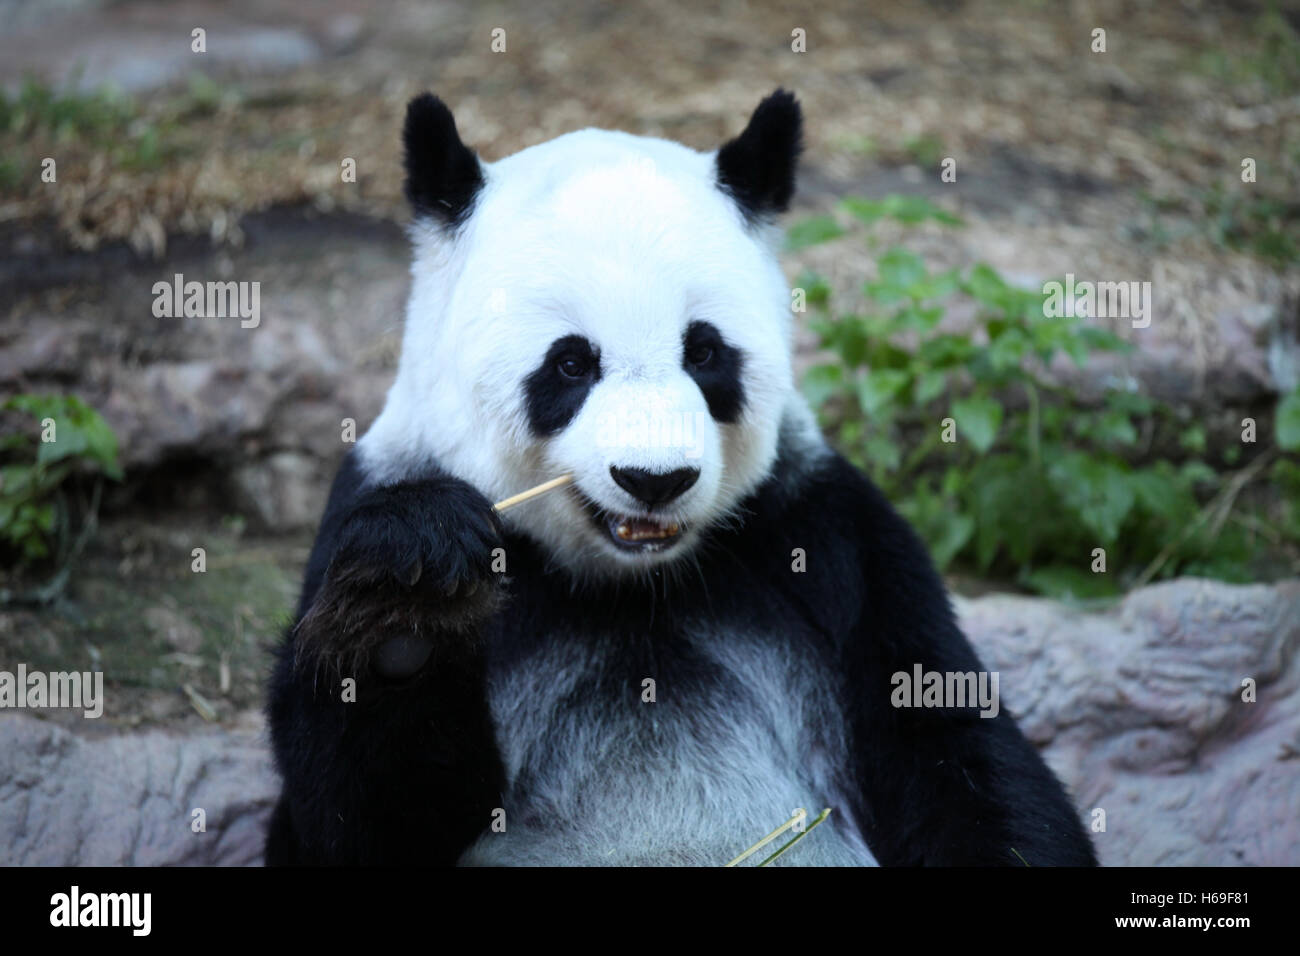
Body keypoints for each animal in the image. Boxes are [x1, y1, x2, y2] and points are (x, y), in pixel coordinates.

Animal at [265, 89, 1098, 867]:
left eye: (704, 352)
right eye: (571, 363)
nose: (655, 479)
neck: (633, 581)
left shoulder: (827, 537)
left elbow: (957, 748)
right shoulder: (372, 494)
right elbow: (360, 818)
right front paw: (411, 594)